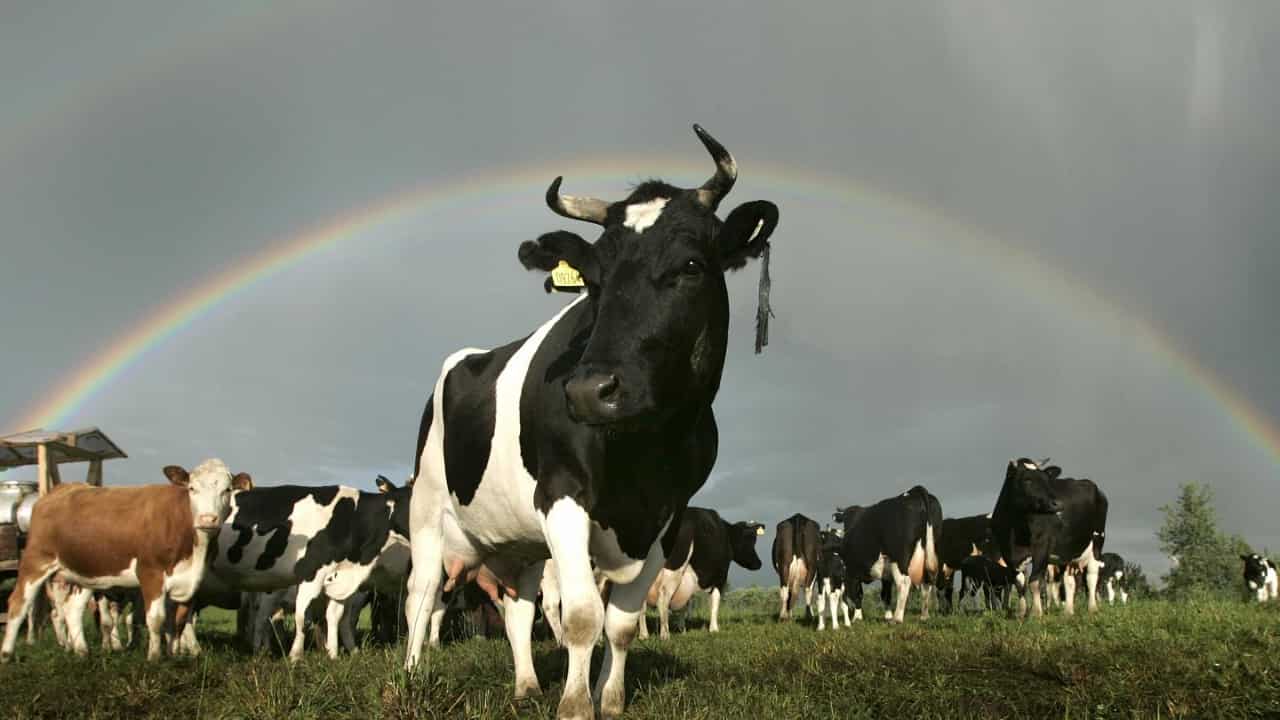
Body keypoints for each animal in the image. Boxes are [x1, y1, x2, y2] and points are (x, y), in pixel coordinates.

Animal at [1, 460, 247, 661]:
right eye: (192, 488)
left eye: (227, 490)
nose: (207, 519)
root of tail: (61, 489)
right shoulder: (150, 573)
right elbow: (156, 619)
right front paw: (155, 658)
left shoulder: (190, 581)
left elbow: (177, 621)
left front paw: (174, 655)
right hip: (36, 561)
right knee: (18, 604)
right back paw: (7, 654)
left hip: (83, 572)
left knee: (73, 609)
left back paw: (82, 652)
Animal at [203, 475, 412, 660]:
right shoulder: (310, 574)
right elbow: (302, 618)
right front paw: (296, 656)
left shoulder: (339, 578)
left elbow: (335, 617)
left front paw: (333, 654)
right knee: (261, 616)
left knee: (262, 616)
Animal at [635, 508, 764, 639]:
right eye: (750, 540)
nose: (758, 563)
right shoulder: (720, 577)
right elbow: (715, 602)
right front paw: (714, 629)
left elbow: (685, 606)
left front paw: (682, 630)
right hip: (674, 569)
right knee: (662, 599)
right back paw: (665, 635)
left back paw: (644, 635)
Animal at [833, 486, 942, 624]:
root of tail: (914, 492)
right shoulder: (885, 571)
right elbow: (885, 594)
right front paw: (887, 615)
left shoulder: (852, 571)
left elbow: (857, 593)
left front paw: (857, 618)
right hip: (929, 550)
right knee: (927, 582)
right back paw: (924, 616)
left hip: (899, 558)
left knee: (904, 582)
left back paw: (897, 618)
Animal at [989, 458, 1108, 617]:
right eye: (1027, 480)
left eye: (1046, 480)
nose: (1058, 504)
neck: (1016, 529)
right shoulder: (1007, 552)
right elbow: (1019, 583)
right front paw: (1021, 613)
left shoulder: (1042, 546)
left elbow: (1034, 581)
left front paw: (1036, 612)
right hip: (1067, 549)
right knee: (1069, 580)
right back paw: (1068, 612)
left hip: (1097, 540)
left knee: (1091, 575)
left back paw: (1092, 608)